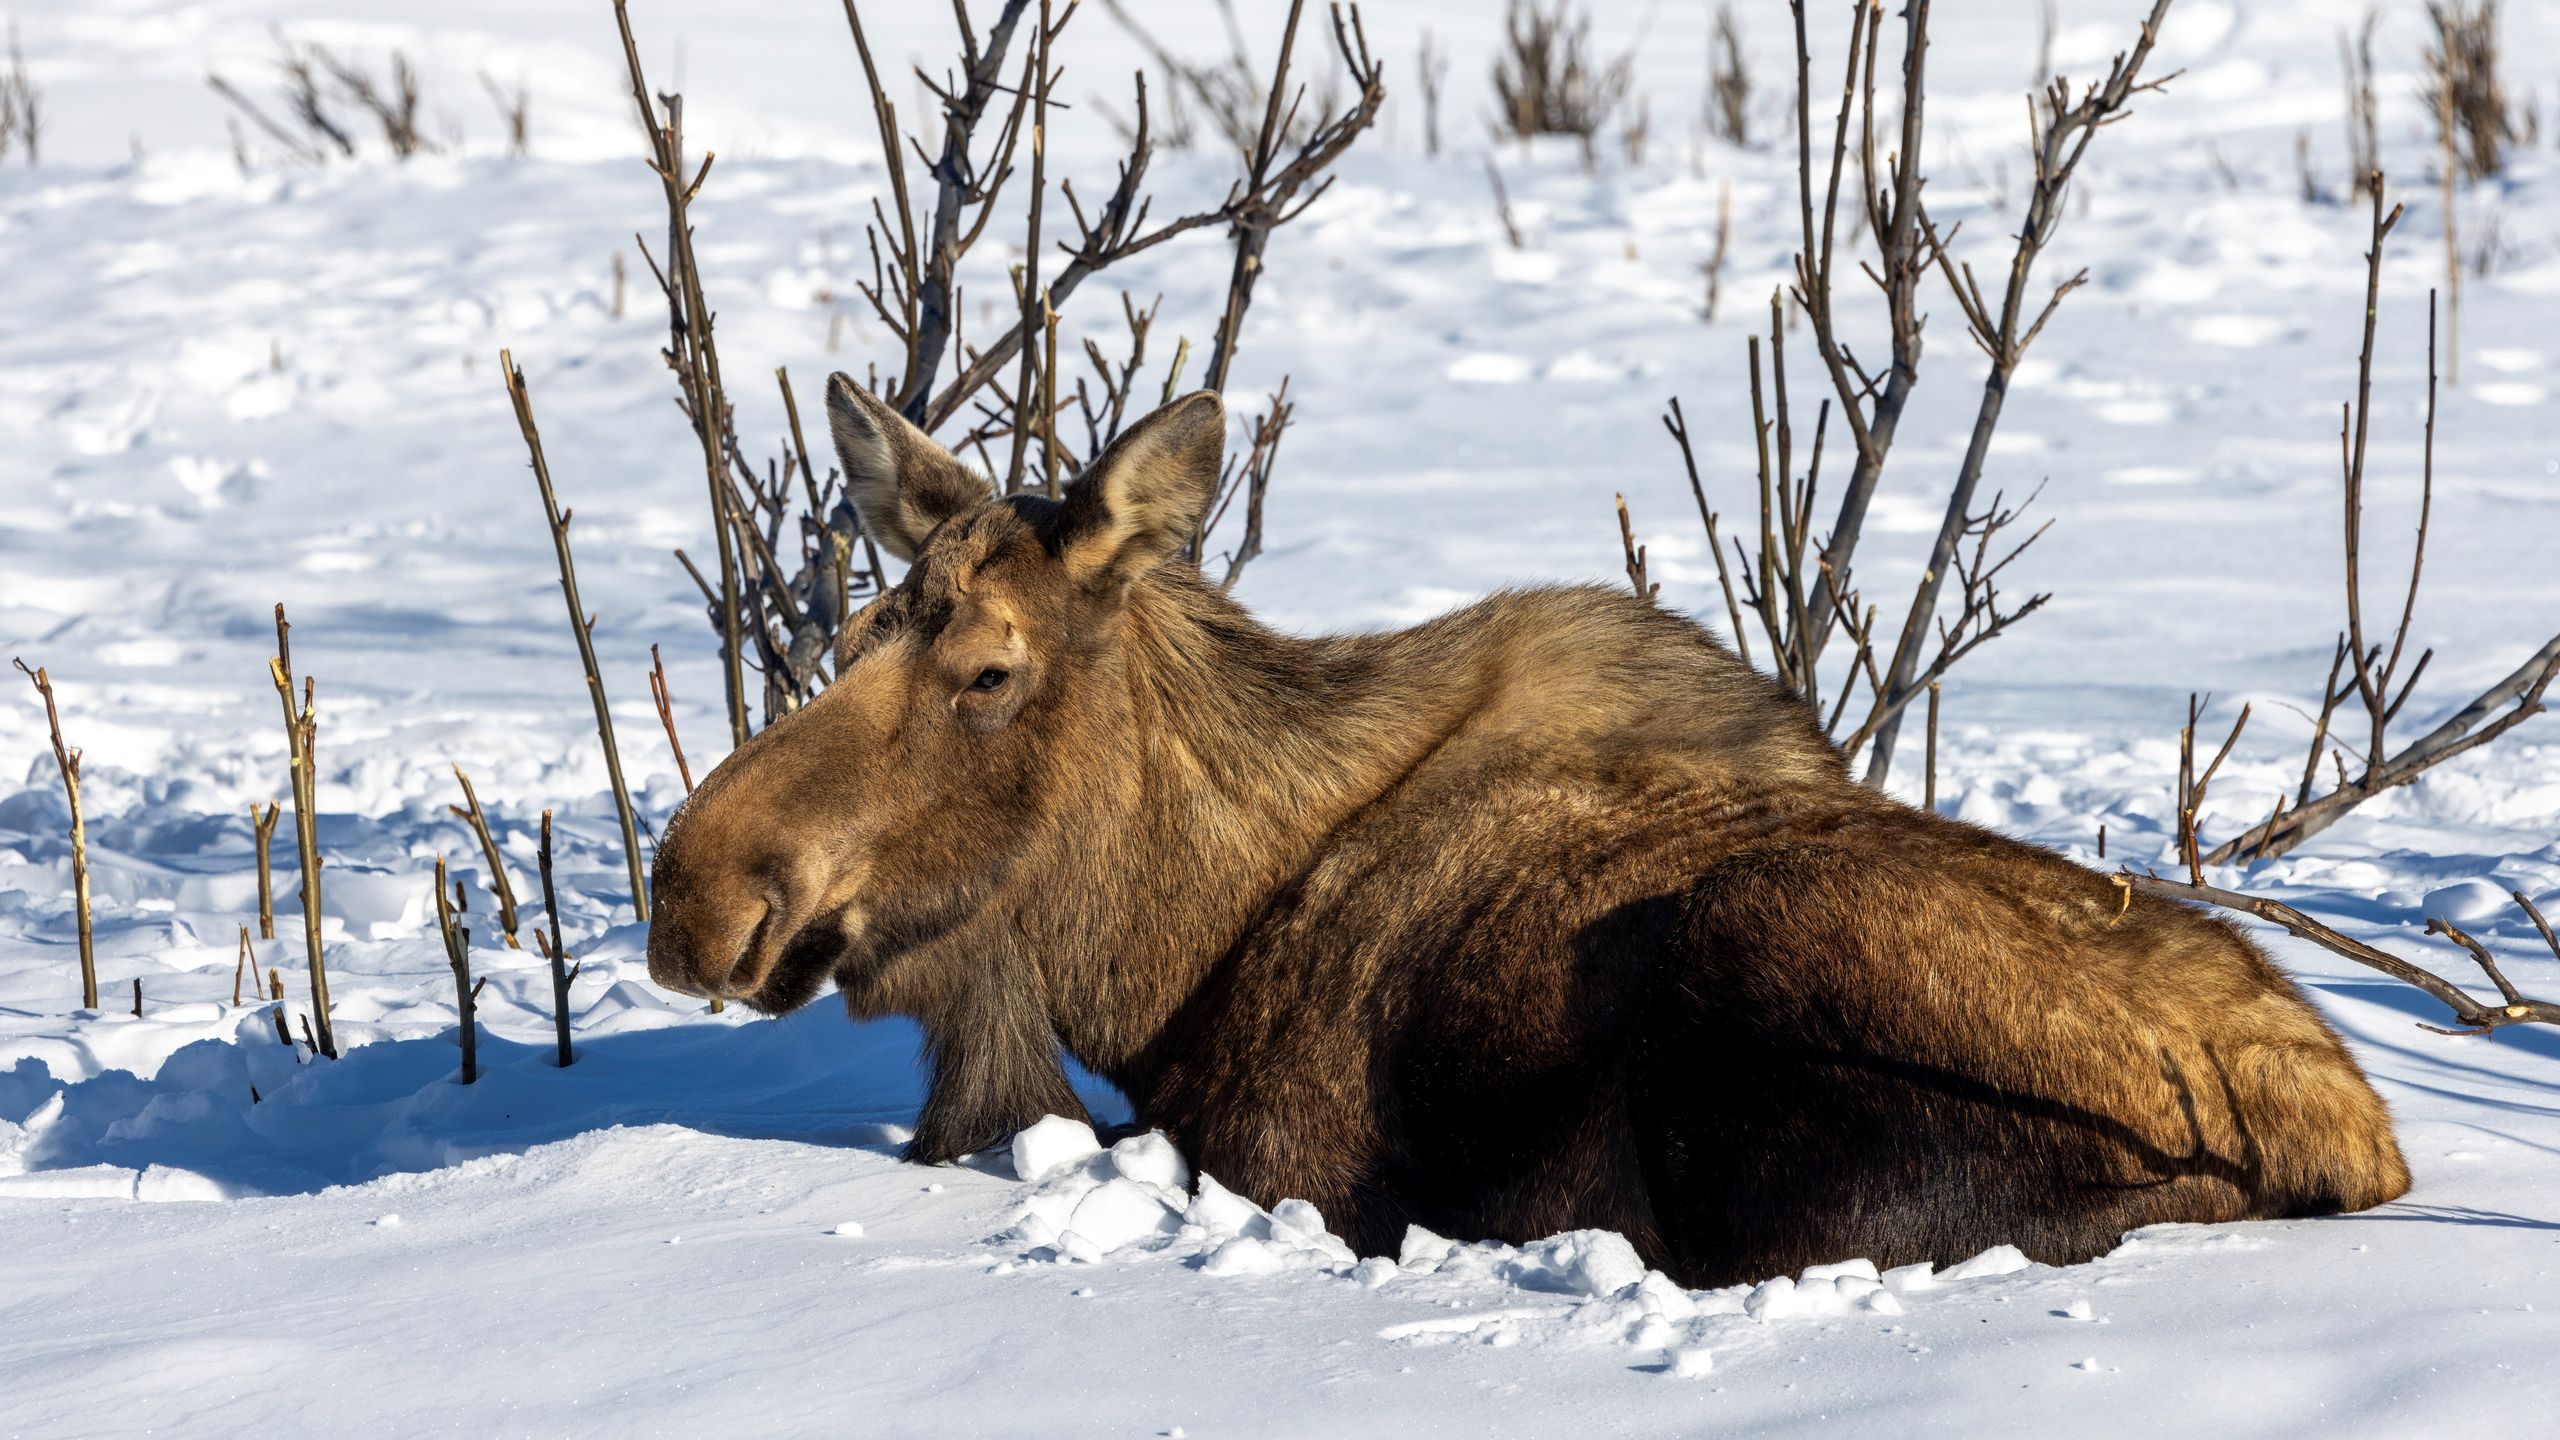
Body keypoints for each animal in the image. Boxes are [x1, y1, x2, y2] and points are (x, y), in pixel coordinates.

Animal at [645, 381, 2411, 1288]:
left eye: (989, 670)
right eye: (860, 625)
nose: (694, 893)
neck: (1170, 958)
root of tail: (2356, 1145)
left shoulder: (1295, 1168)